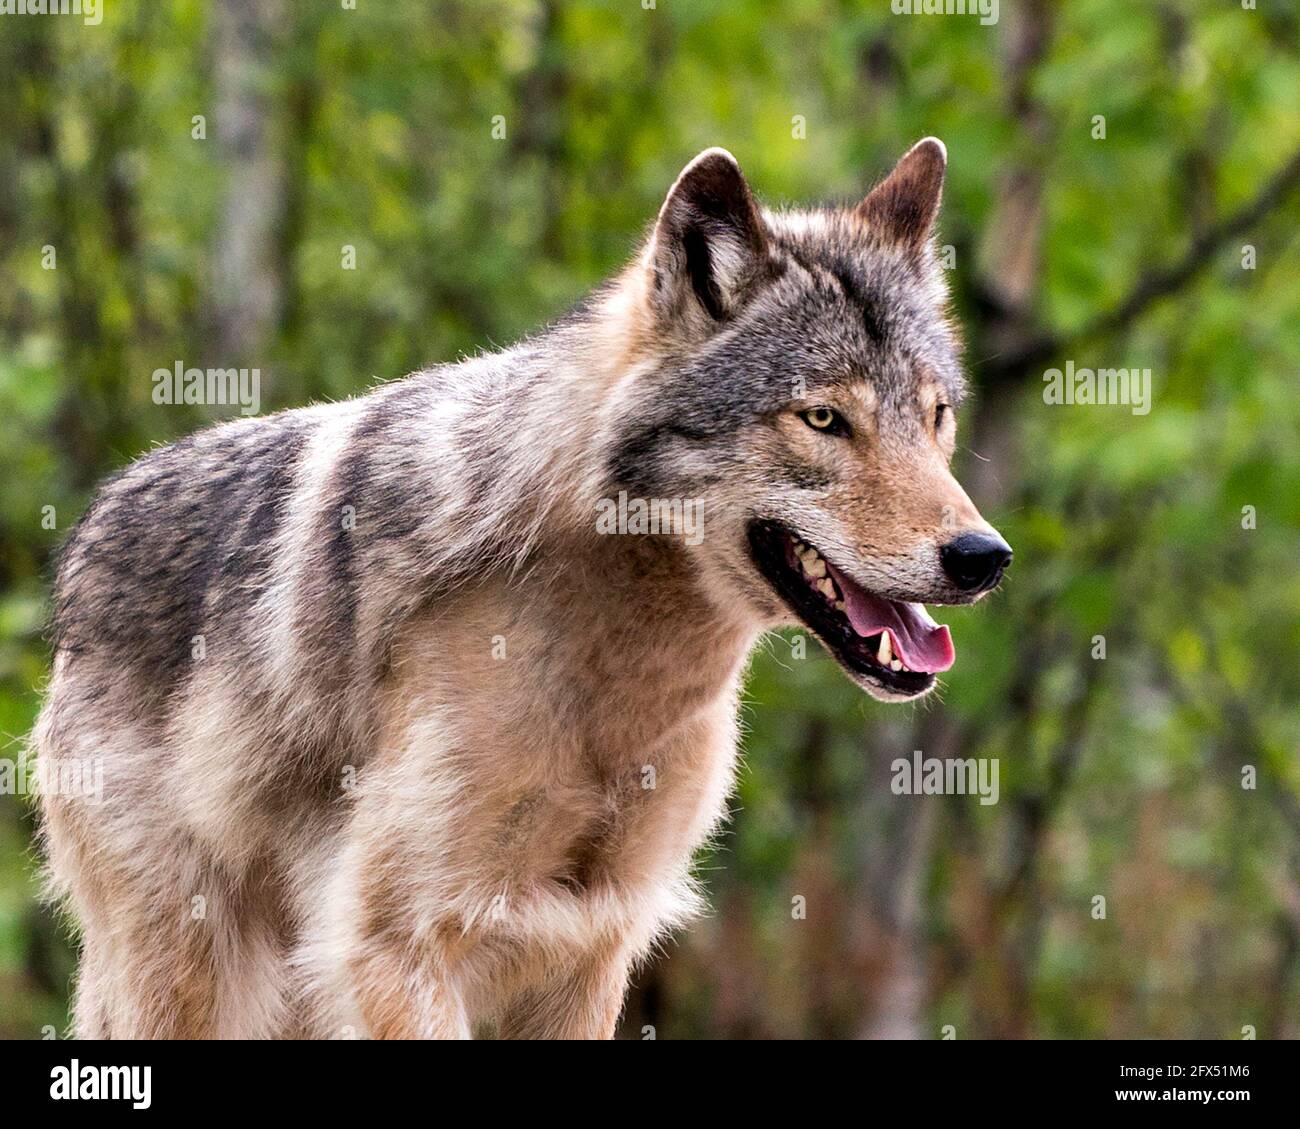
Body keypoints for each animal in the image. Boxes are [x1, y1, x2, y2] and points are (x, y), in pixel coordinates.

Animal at [34, 137, 1010, 1039]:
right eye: (822, 418)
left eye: (936, 416)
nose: (982, 556)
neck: (609, 691)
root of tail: (89, 534)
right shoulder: (394, 949)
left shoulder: (590, 948)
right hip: (197, 982)